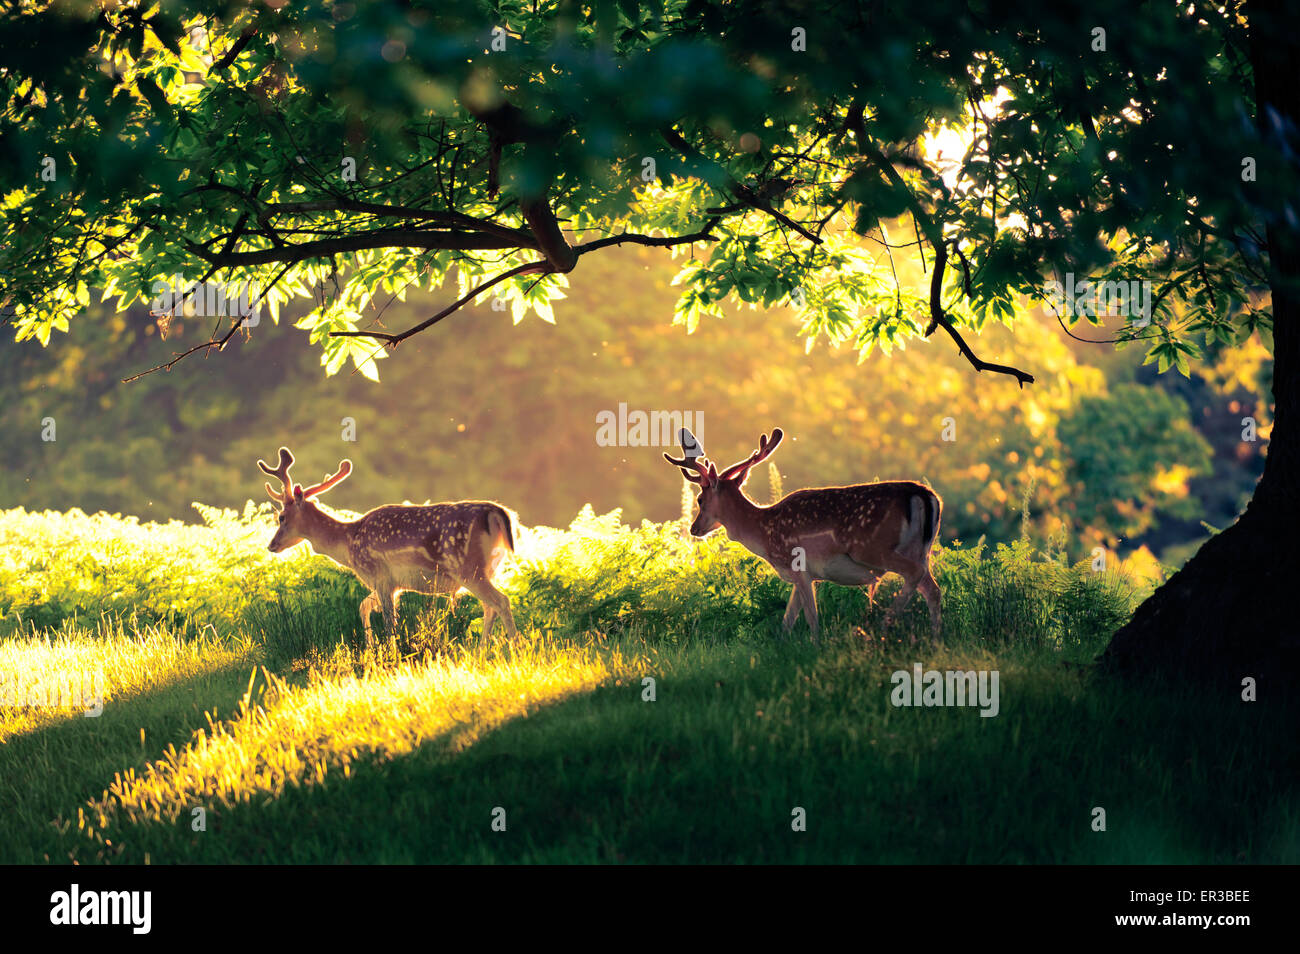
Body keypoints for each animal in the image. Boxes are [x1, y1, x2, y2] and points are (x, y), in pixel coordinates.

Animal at [257, 447, 517, 643]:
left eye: (281, 517)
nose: (271, 545)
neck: (348, 544)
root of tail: (498, 513)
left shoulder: (380, 576)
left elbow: (389, 624)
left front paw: (390, 655)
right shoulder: (393, 584)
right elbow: (363, 607)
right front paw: (371, 648)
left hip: (468, 568)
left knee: (501, 601)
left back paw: (515, 648)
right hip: (490, 569)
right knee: (490, 607)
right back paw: (480, 653)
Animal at [664, 428, 942, 644]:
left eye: (700, 499)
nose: (694, 528)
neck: (763, 533)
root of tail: (925, 496)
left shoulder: (800, 567)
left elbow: (811, 617)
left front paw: (816, 646)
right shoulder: (805, 576)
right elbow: (787, 620)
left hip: (872, 547)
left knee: (914, 575)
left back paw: (883, 624)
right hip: (921, 551)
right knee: (933, 589)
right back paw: (936, 637)